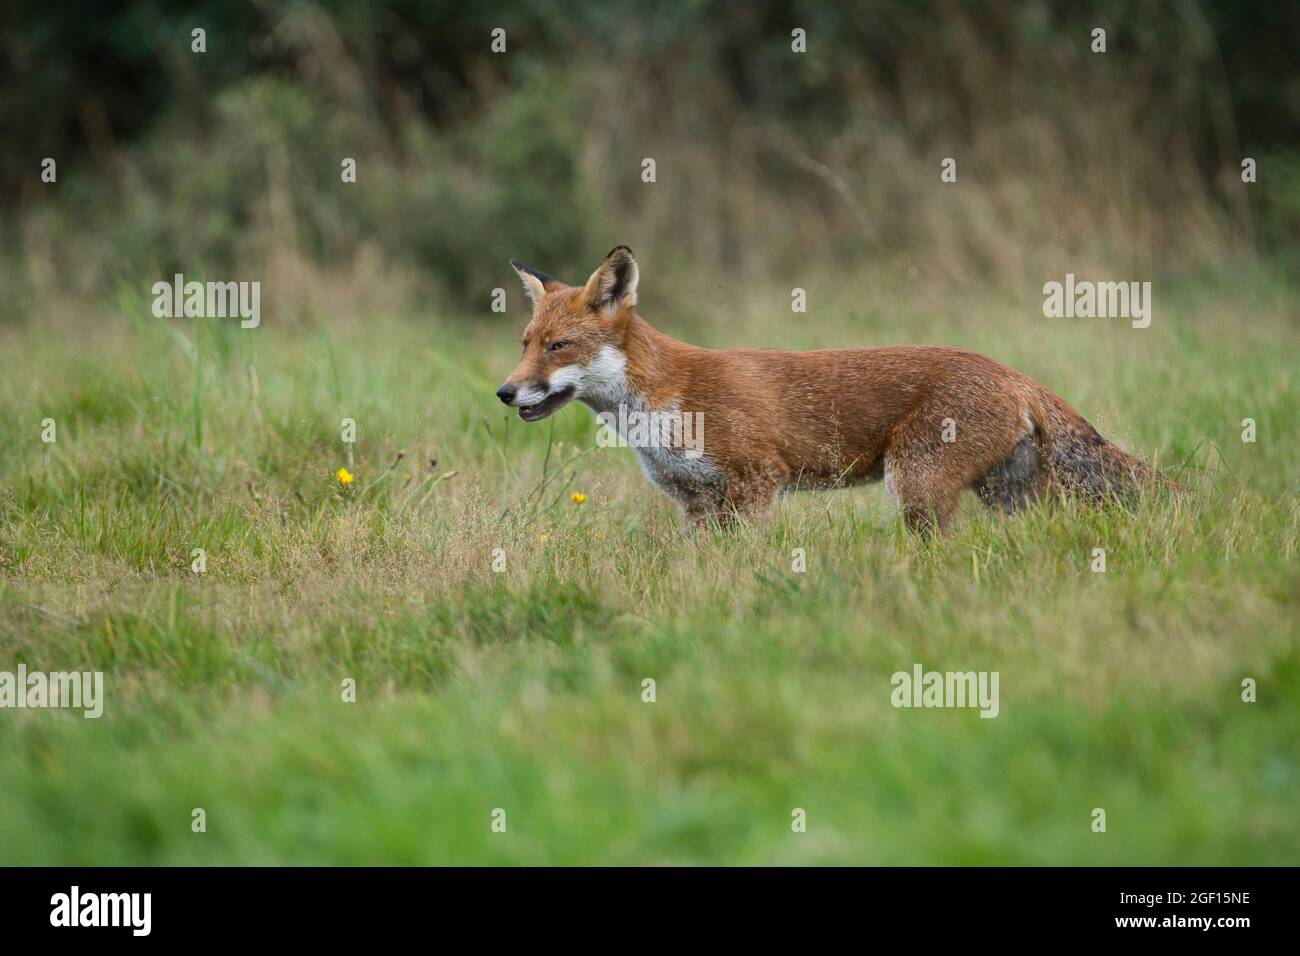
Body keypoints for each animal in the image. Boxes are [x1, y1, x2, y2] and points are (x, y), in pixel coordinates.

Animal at [497, 245, 1179, 534]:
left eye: (559, 347)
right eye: (525, 342)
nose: (505, 392)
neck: (659, 405)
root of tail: (1012, 372)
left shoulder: (756, 482)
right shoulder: (696, 502)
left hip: (917, 487)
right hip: (1012, 497)